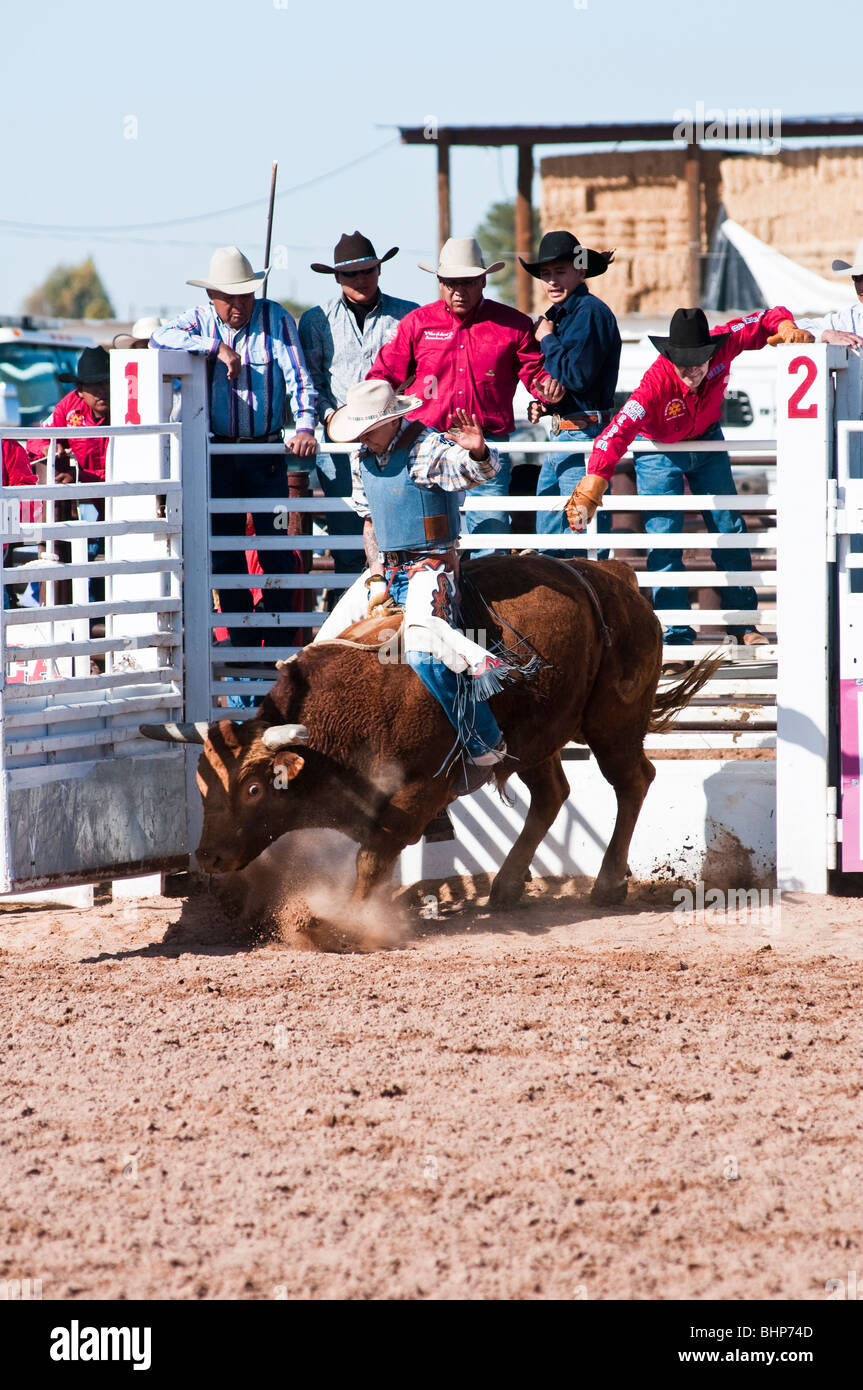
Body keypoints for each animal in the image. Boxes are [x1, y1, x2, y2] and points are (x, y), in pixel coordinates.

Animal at [141, 554, 717, 909]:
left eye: (255, 788)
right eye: (202, 787)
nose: (208, 856)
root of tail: (616, 578)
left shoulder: (420, 790)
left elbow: (374, 856)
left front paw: (347, 919)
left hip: (613, 724)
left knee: (632, 781)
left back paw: (608, 881)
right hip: (532, 739)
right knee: (553, 794)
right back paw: (507, 885)